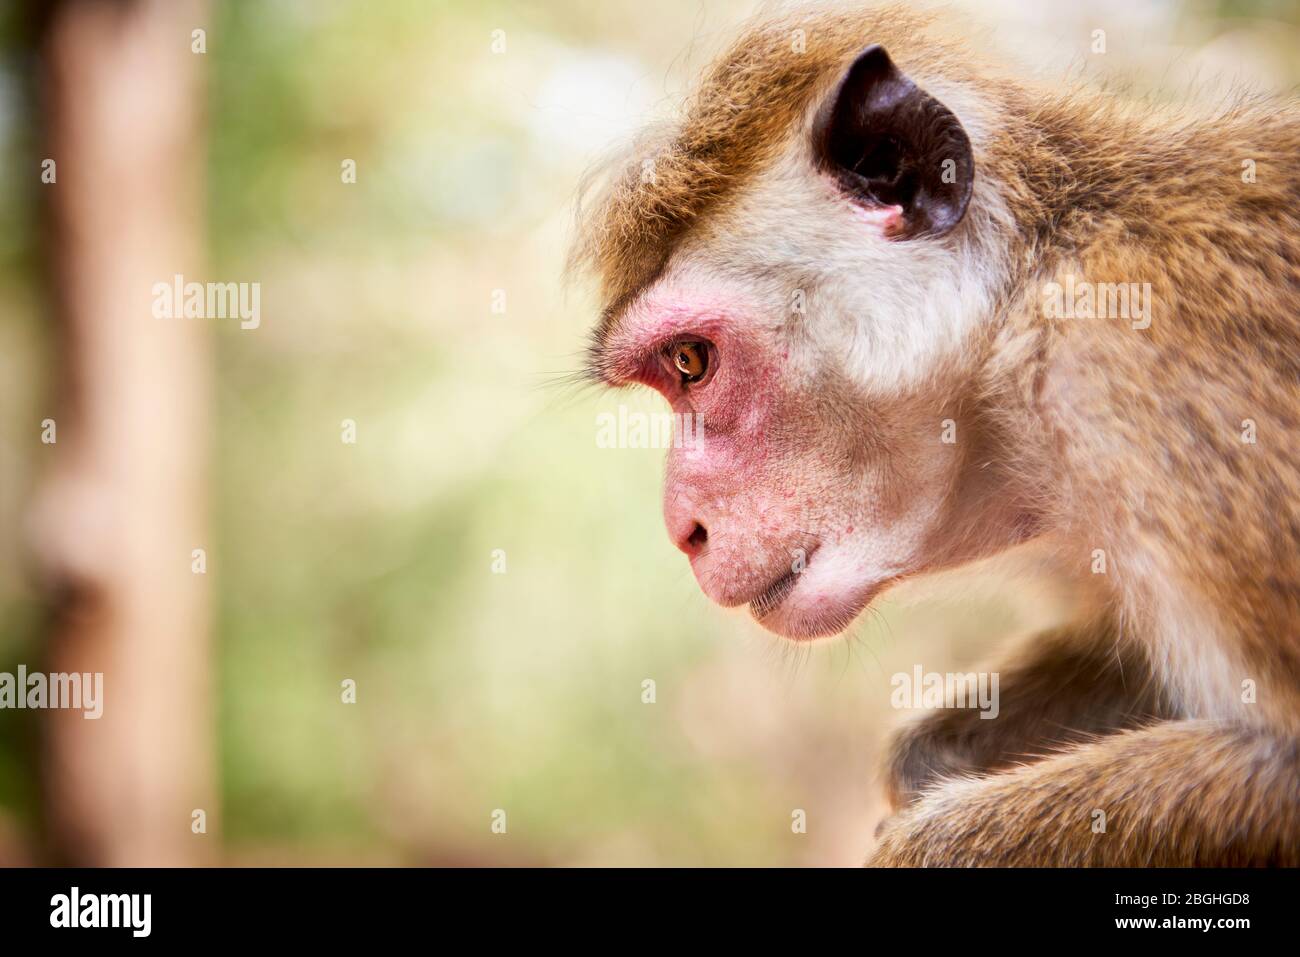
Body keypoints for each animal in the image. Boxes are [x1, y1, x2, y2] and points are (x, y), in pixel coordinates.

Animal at [569, 2, 1300, 866]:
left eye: (691, 361)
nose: (683, 528)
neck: (1027, 292)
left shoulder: (1136, 371)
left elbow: (1279, 763)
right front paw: (932, 757)